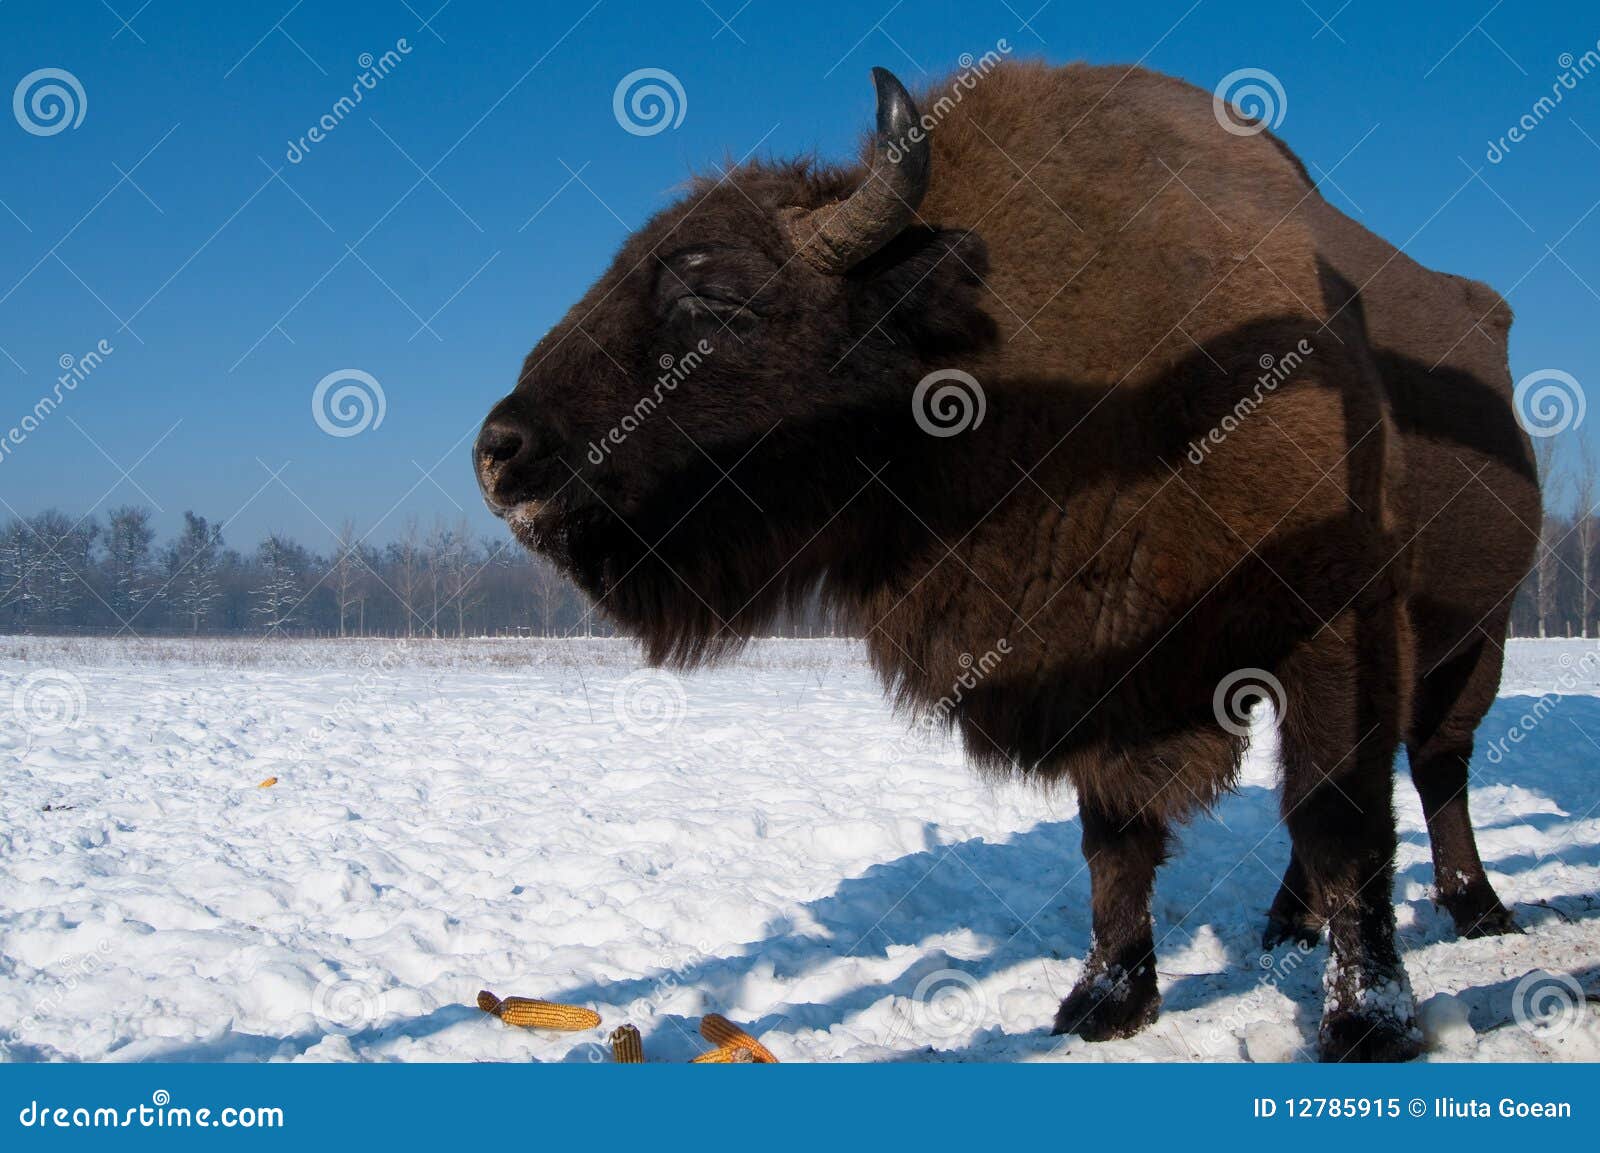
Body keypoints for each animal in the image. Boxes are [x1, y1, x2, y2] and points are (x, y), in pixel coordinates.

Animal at [477, 60, 1540, 1061]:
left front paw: (1369, 1023)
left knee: (1437, 763)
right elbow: (1115, 841)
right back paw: (1287, 926)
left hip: (1477, 634)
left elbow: (1341, 819)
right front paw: (1105, 1001)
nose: (501, 451)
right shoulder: (1087, 663)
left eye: (716, 299)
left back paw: (1478, 907)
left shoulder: (1336, 625)